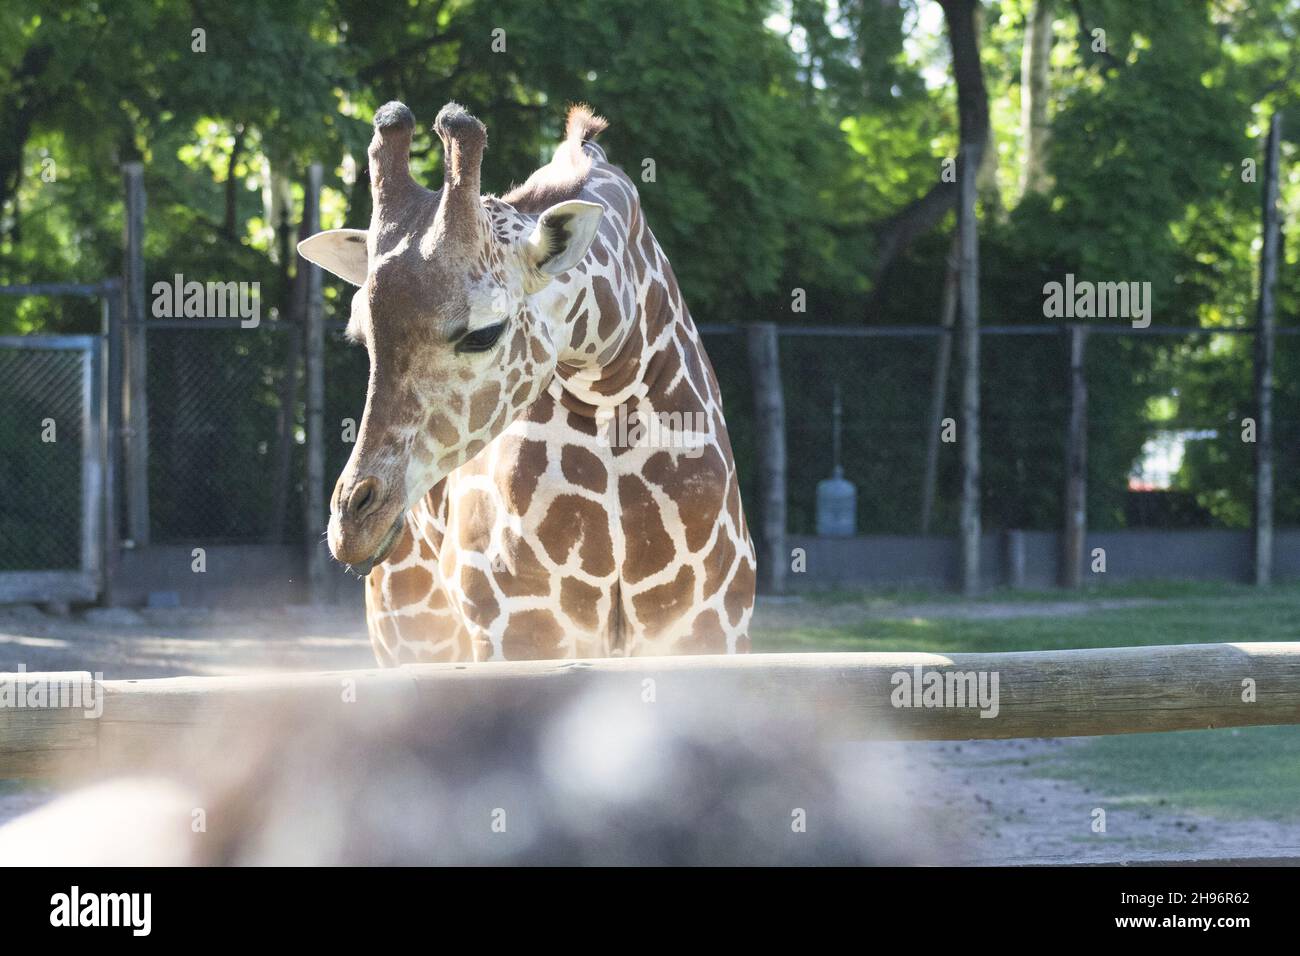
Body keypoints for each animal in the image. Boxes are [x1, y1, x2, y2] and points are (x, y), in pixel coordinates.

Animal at [298, 100, 755, 663]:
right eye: (361, 335)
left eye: (483, 332)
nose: (353, 523)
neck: (610, 389)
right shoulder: (521, 631)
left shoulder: (706, 628)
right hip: (409, 632)